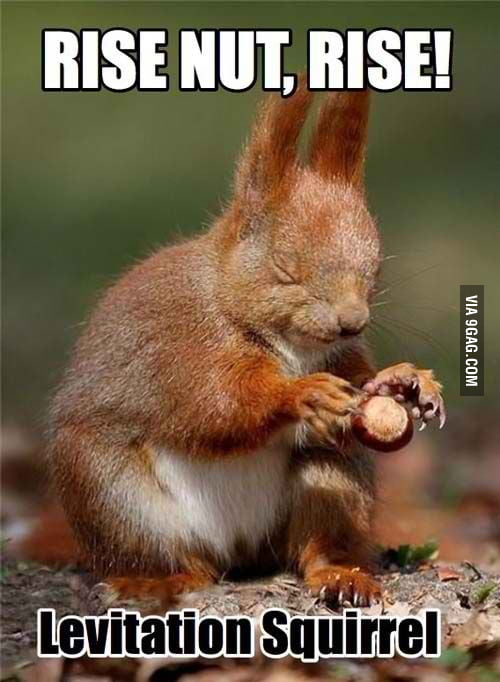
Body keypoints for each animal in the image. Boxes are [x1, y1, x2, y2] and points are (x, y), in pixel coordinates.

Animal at [41, 82, 445, 608]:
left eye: (375, 268)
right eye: (285, 269)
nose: (352, 322)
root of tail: (238, 552)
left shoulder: (341, 355)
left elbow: (359, 379)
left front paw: (406, 382)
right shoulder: (184, 345)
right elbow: (216, 406)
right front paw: (301, 394)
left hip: (332, 481)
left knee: (318, 539)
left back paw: (341, 574)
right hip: (112, 493)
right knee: (168, 558)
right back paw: (155, 580)